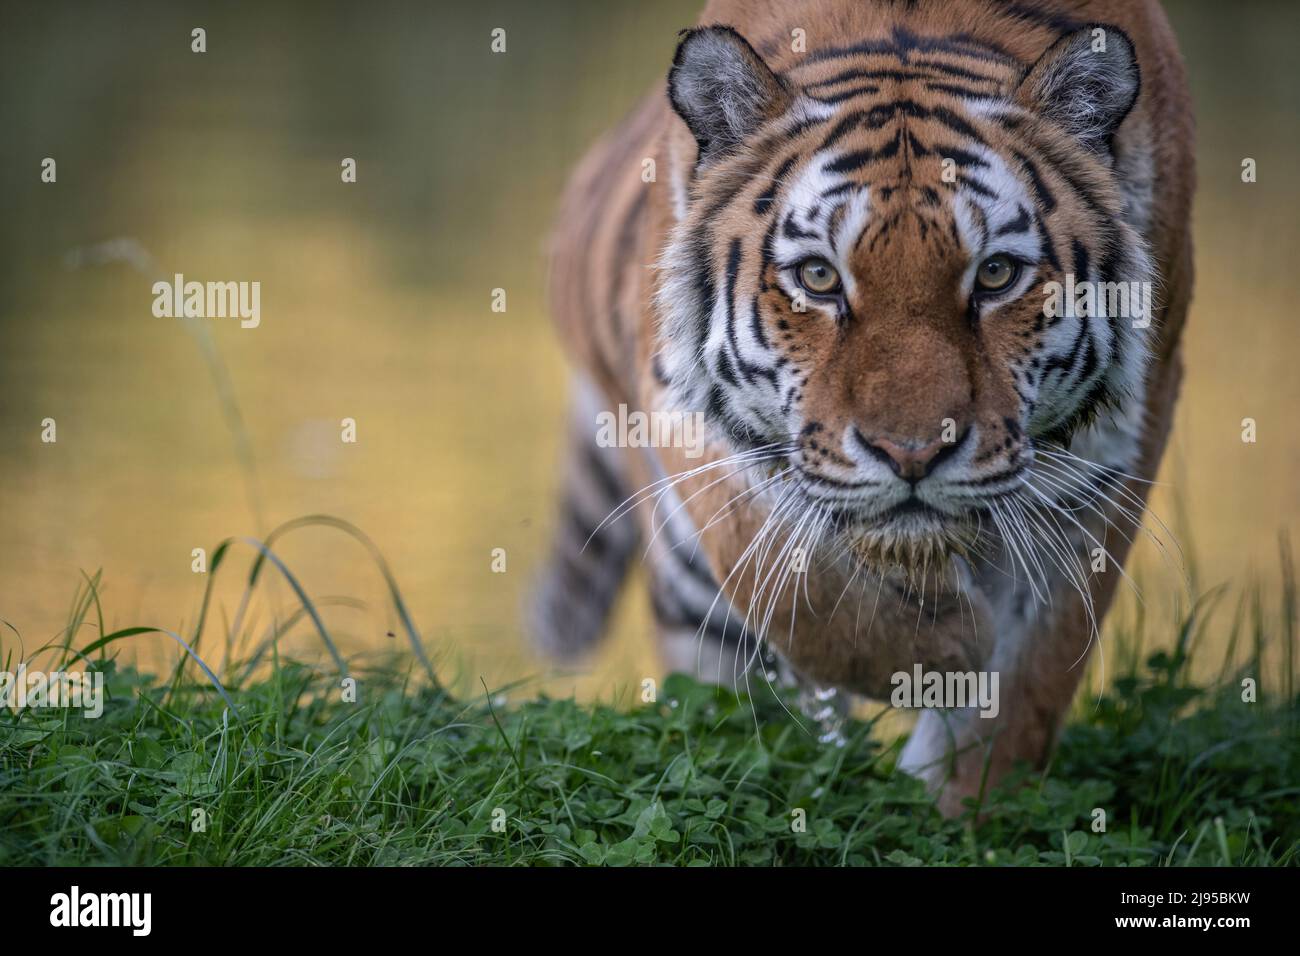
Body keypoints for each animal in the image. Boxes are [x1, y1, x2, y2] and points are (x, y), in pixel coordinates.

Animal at [533, 0, 1194, 815]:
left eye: (997, 275)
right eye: (819, 277)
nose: (913, 453)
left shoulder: (1111, 453)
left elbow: (1030, 678)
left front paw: (962, 807)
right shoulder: (687, 412)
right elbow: (795, 585)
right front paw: (940, 649)